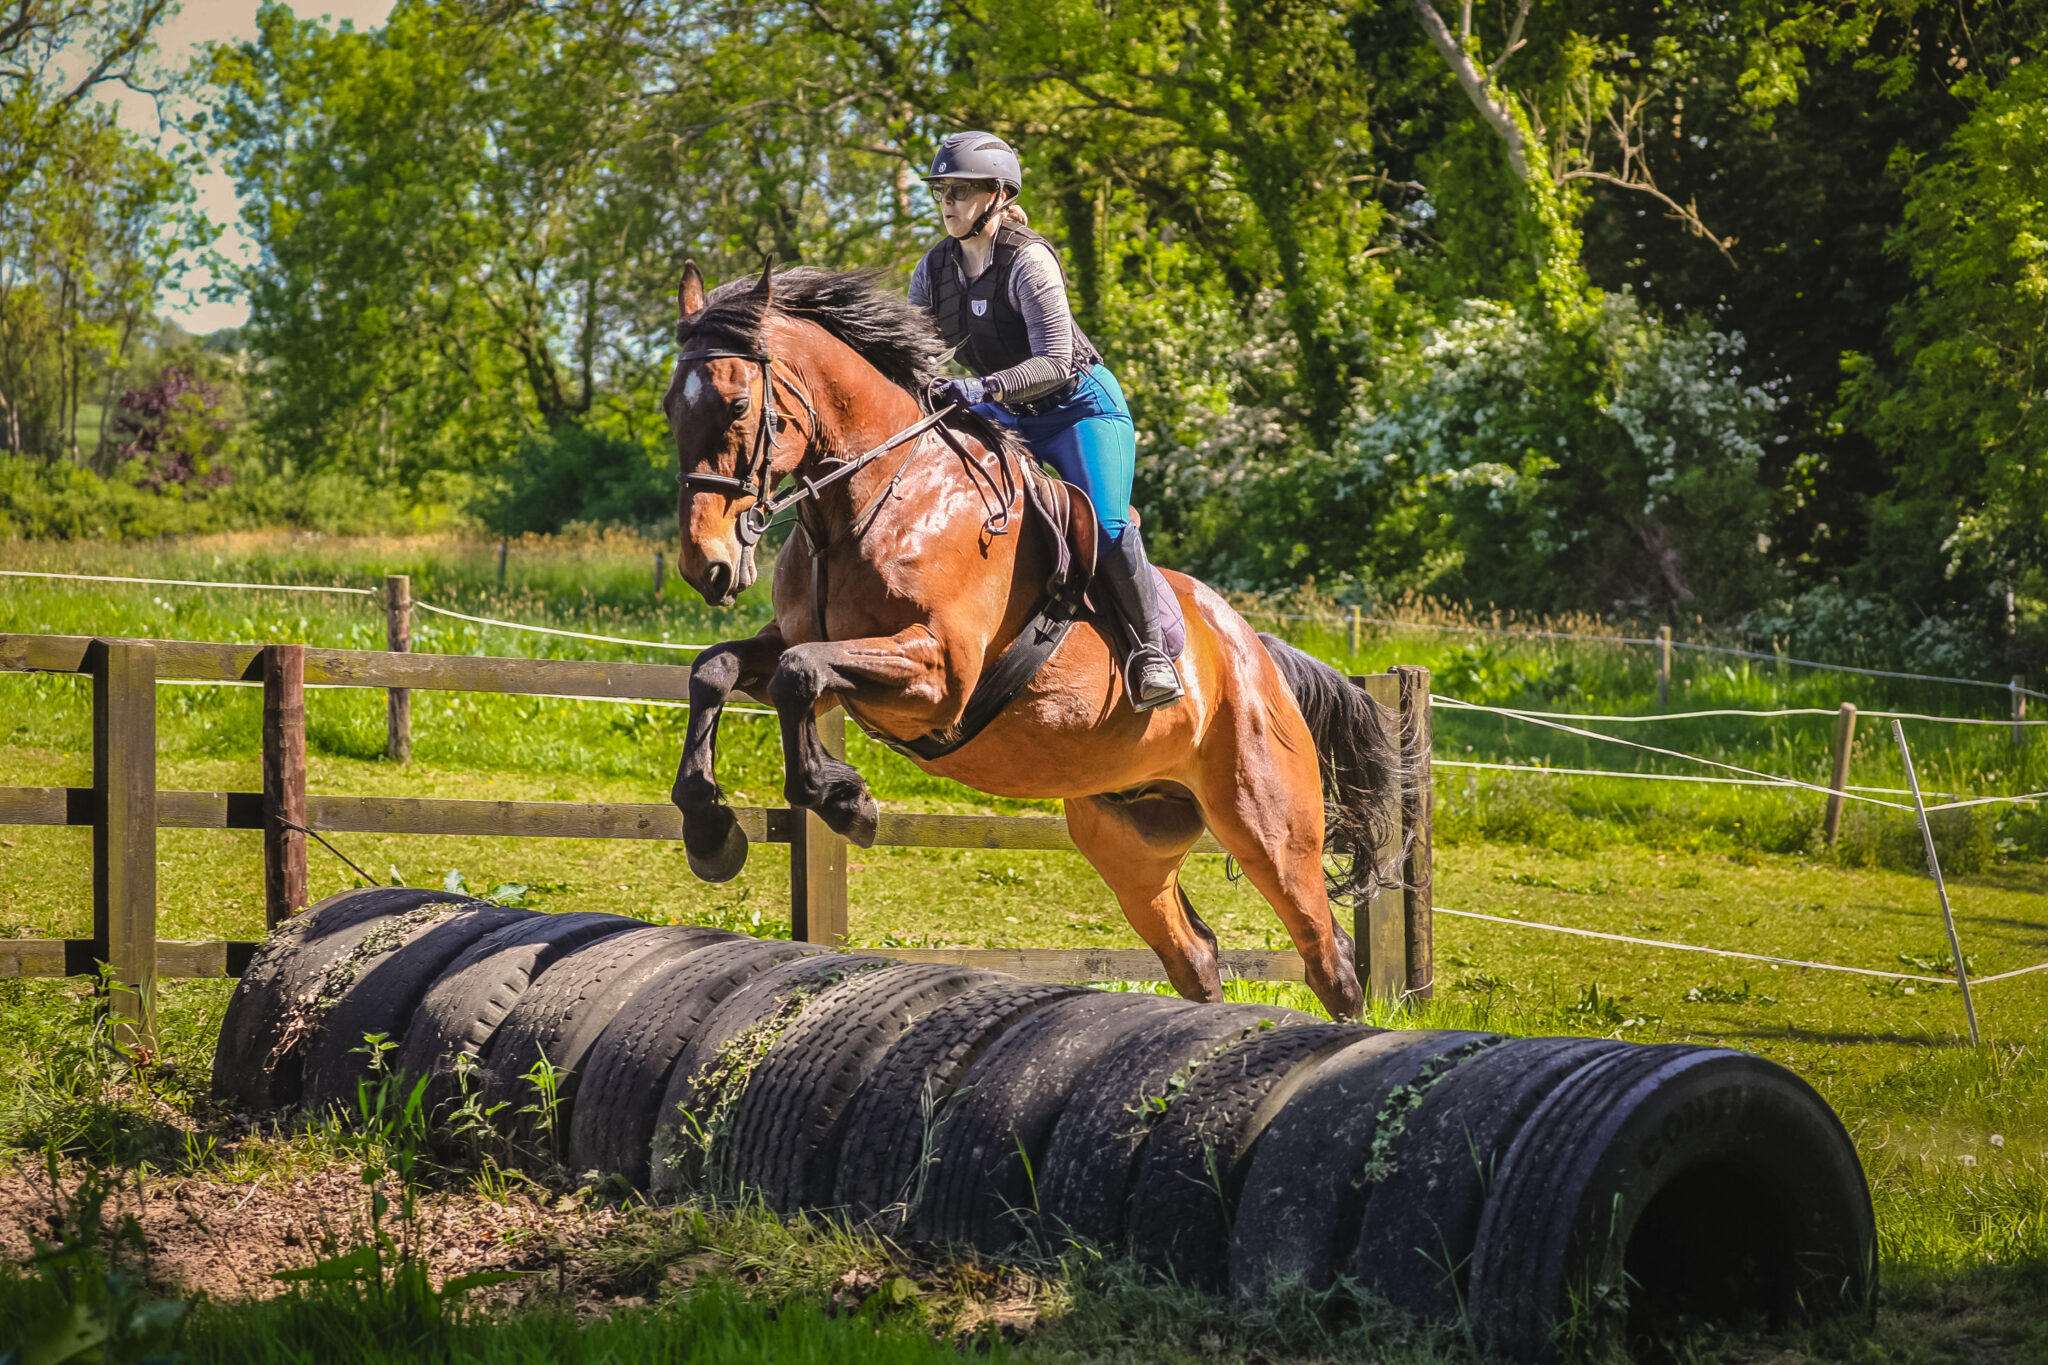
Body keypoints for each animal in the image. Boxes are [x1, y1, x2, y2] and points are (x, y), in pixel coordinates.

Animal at [661, 260, 1401, 1021]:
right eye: (668, 409)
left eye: (737, 405)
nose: (706, 566)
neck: (874, 498)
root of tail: (1258, 653)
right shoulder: (810, 651)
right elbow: (718, 669)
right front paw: (710, 829)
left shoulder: (939, 676)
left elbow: (799, 675)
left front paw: (845, 801)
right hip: (1129, 835)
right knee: (1194, 952)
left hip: (1268, 826)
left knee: (1327, 953)